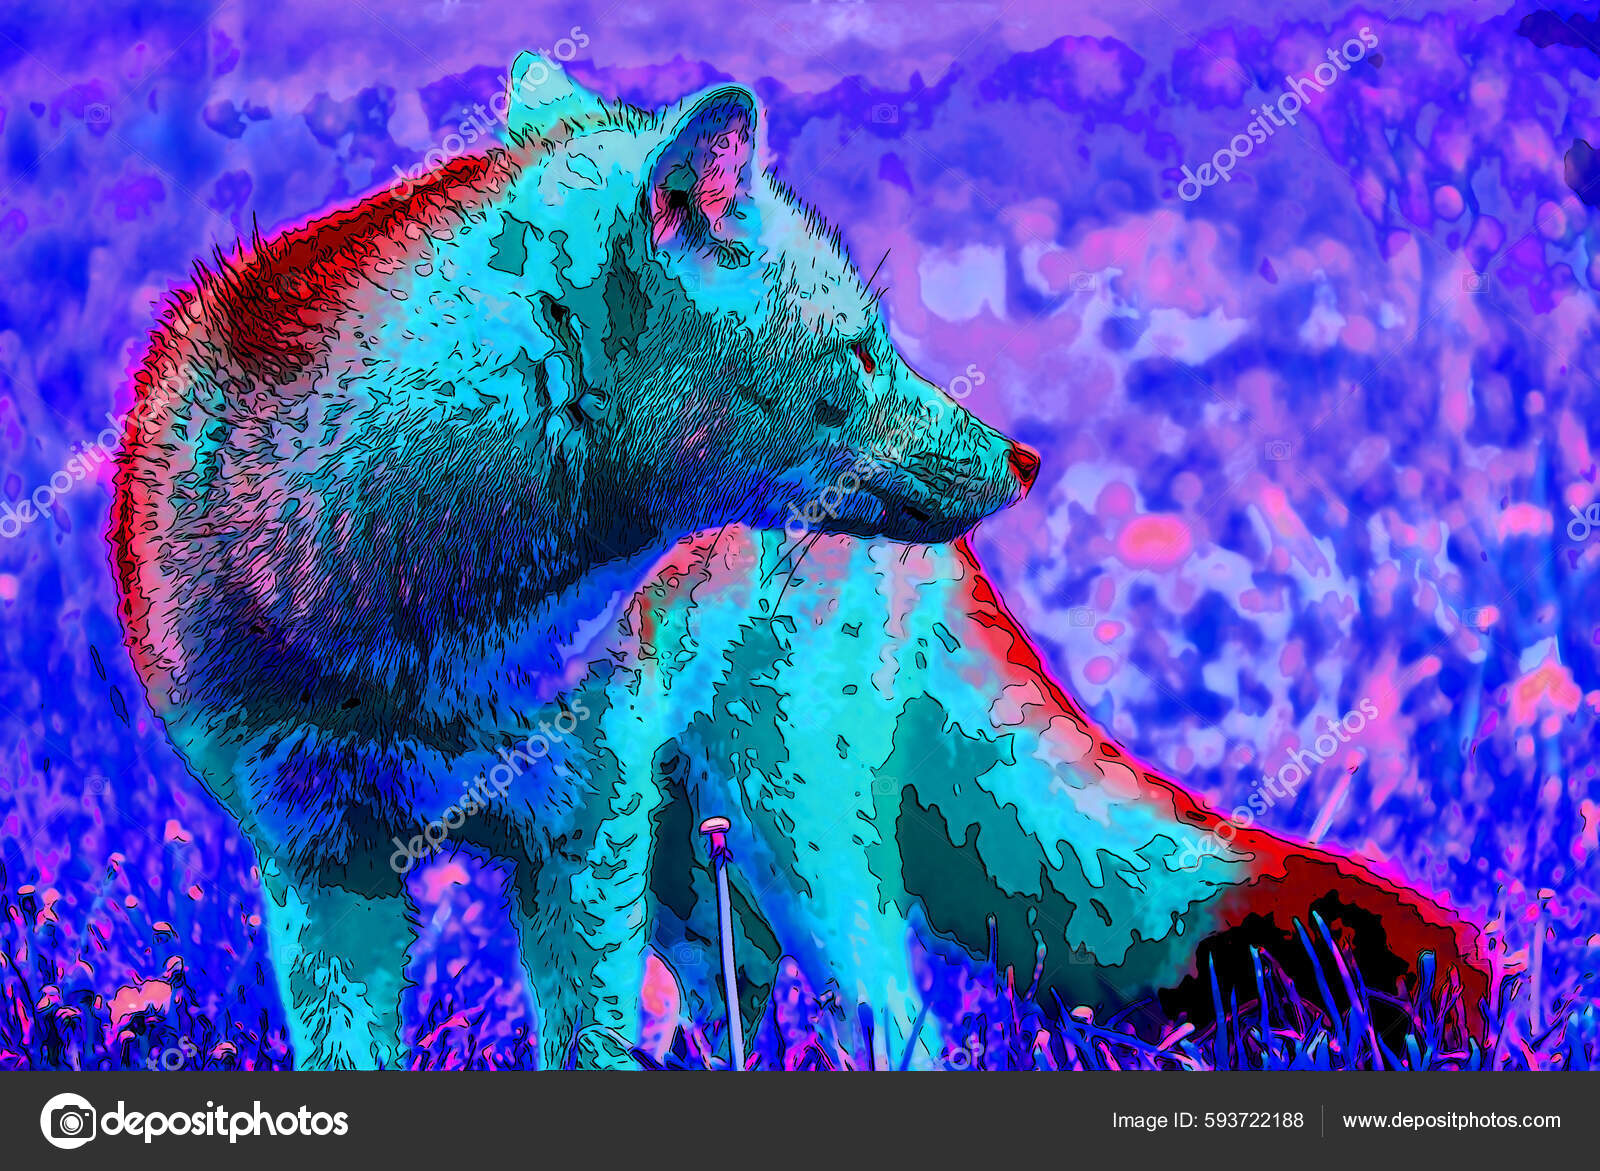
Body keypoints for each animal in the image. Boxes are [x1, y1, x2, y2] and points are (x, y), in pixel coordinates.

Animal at [111, 53, 1486, 1069]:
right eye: (862, 356)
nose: (1025, 458)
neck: (432, 642)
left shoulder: (579, 835)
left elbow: (589, 1046)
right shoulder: (323, 870)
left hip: (786, 834)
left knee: (898, 1022)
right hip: (698, 852)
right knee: (747, 999)